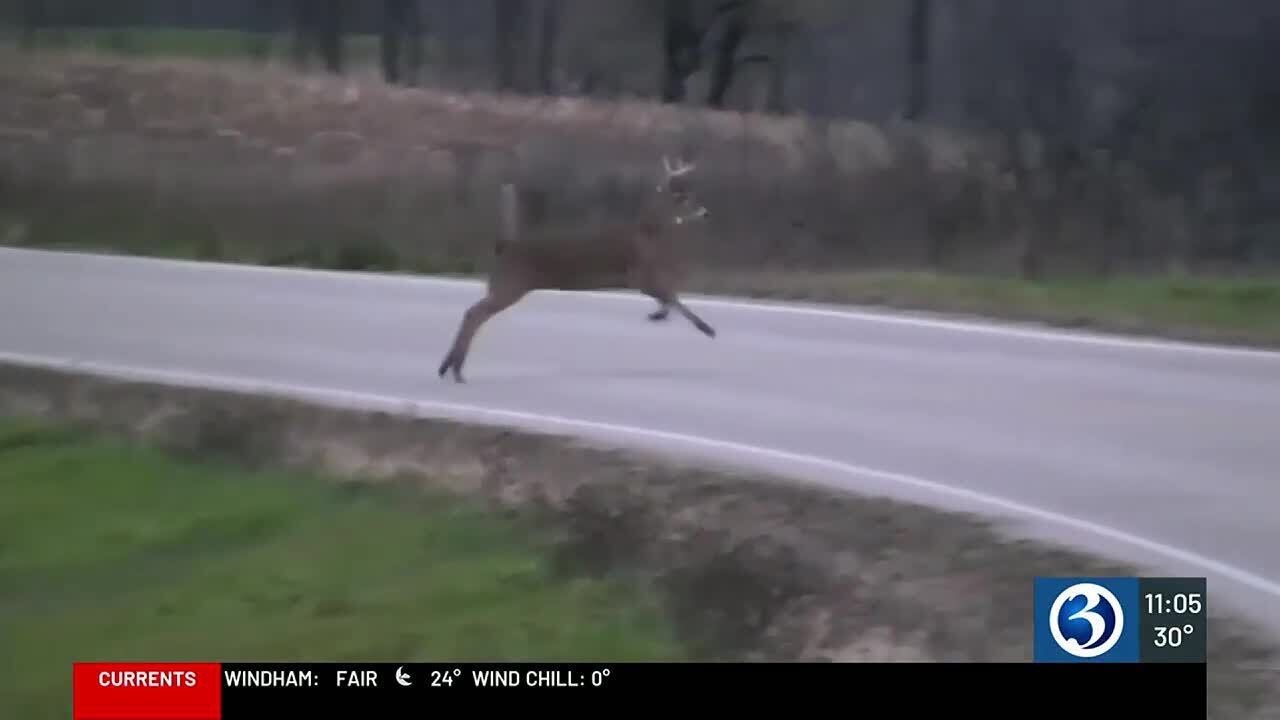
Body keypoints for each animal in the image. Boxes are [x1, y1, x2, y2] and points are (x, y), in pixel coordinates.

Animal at [436, 154, 716, 383]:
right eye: (681, 197)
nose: (705, 212)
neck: (647, 234)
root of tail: (504, 246)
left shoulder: (642, 277)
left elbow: (670, 298)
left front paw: (662, 316)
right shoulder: (639, 275)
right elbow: (672, 297)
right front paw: (705, 329)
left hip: (502, 284)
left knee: (474, 312)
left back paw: (447, 367)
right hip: (512, 283)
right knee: (474, 314)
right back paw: (456, 370)